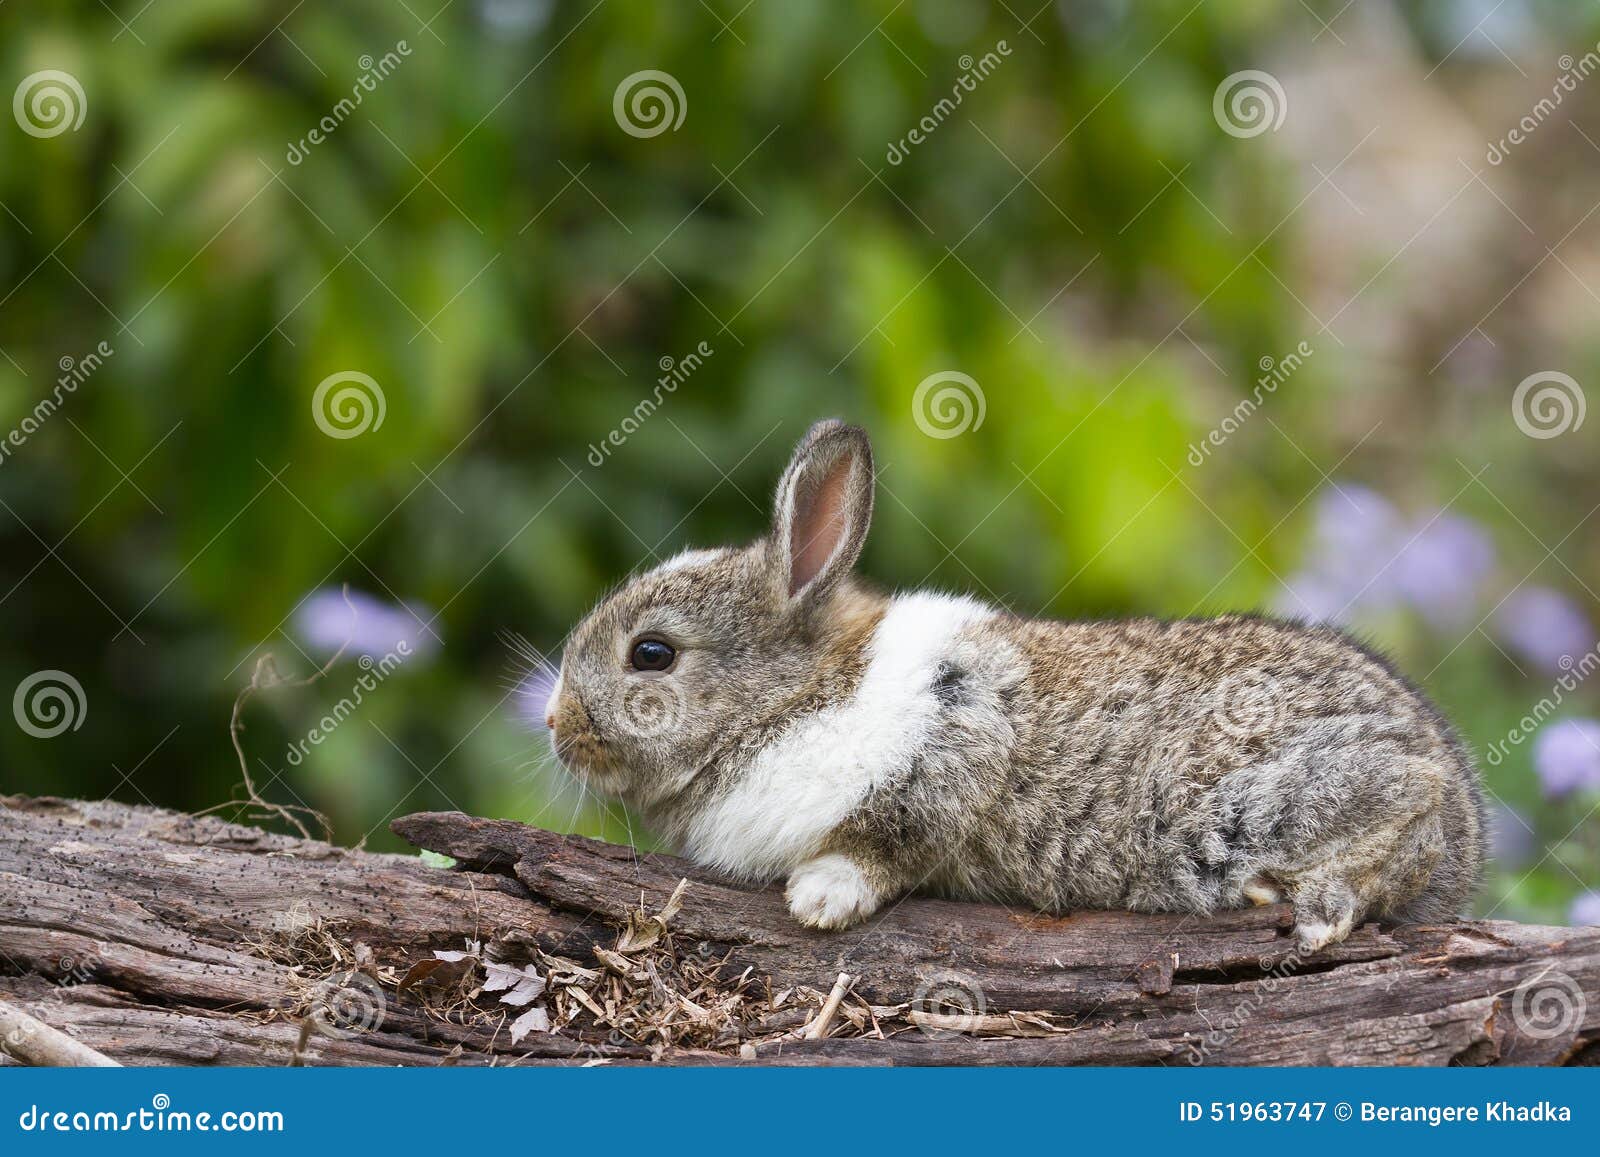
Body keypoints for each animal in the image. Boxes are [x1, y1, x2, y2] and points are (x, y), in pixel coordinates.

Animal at [542, 419, 1484, 952]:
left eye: (652, 653)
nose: (555, 722)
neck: (796, 698)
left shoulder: (951, 742)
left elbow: (888, 844)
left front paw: (819, 899)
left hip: (1270, 797)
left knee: (1405, 810)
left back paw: (1309, 902)